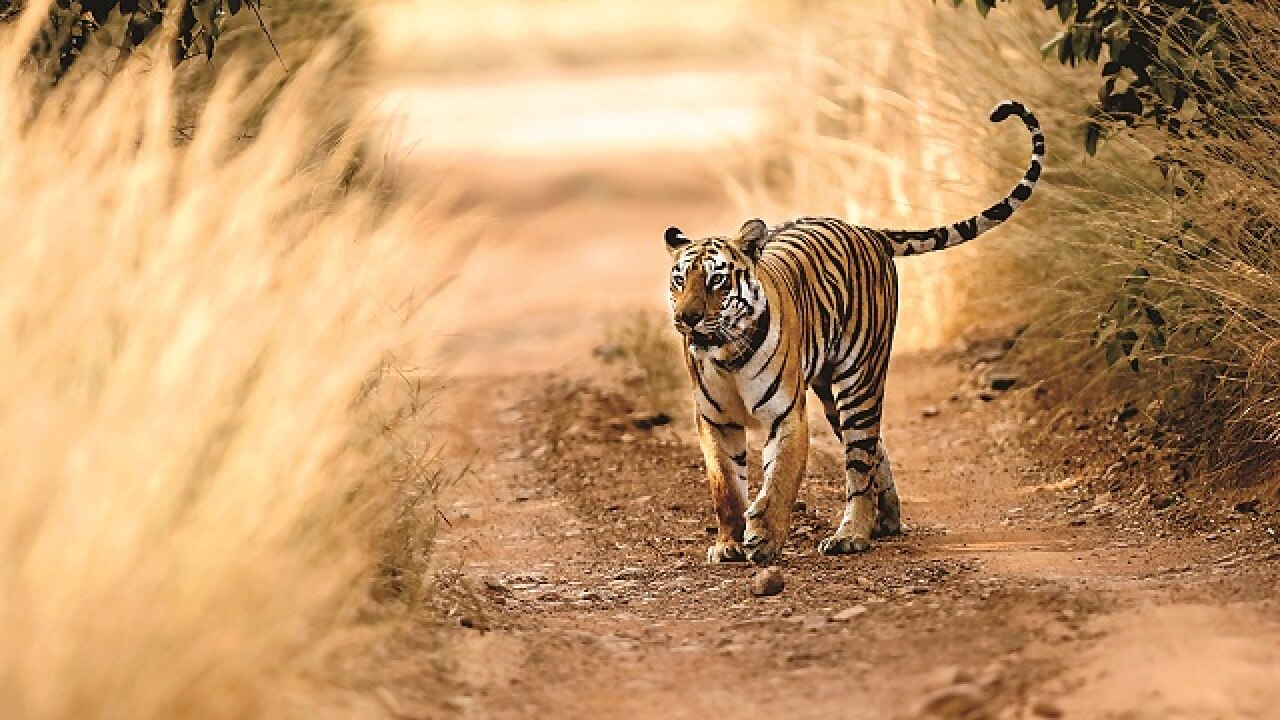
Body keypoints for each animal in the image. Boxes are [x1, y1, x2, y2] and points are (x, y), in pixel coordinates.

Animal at [664, 100, 1044, 565]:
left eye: (716, 280)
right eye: (679, 280)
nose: (686, 318)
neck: (726, 353)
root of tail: (868, 231)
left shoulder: (786, 417)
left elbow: (779, 482)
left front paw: (765, 539)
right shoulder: (714, 421)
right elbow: (726, 489)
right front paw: (728, 544)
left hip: (859, 382)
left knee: (860, 462)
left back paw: (853, 534)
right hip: (831, 391)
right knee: (873, 448)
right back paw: (887, 518)